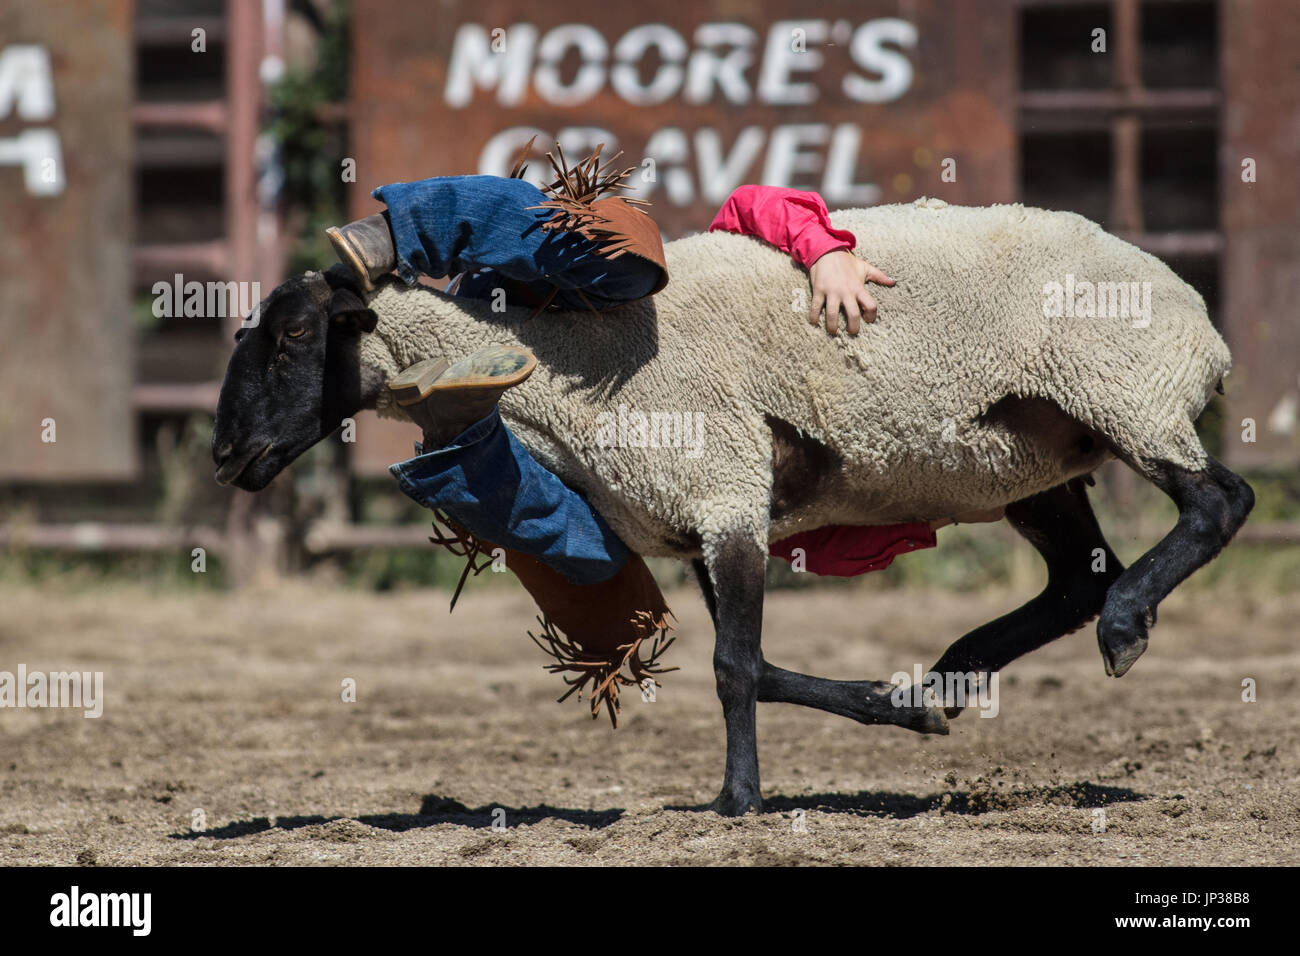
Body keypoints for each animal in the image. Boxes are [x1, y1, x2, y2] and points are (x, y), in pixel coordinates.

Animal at [213, 198, 1254, 816]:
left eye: (296, 334)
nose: (226, 455)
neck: (564, 366)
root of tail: (1199, 316)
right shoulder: (702, 523)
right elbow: (759, 665)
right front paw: (900, 711)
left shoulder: (726, 492)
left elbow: (733, 669)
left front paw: (738, 799)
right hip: (1029, 462)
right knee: (1076, 579)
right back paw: (953, 676)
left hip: (1123, 392)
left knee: (1218, 503)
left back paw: (1124, 627)